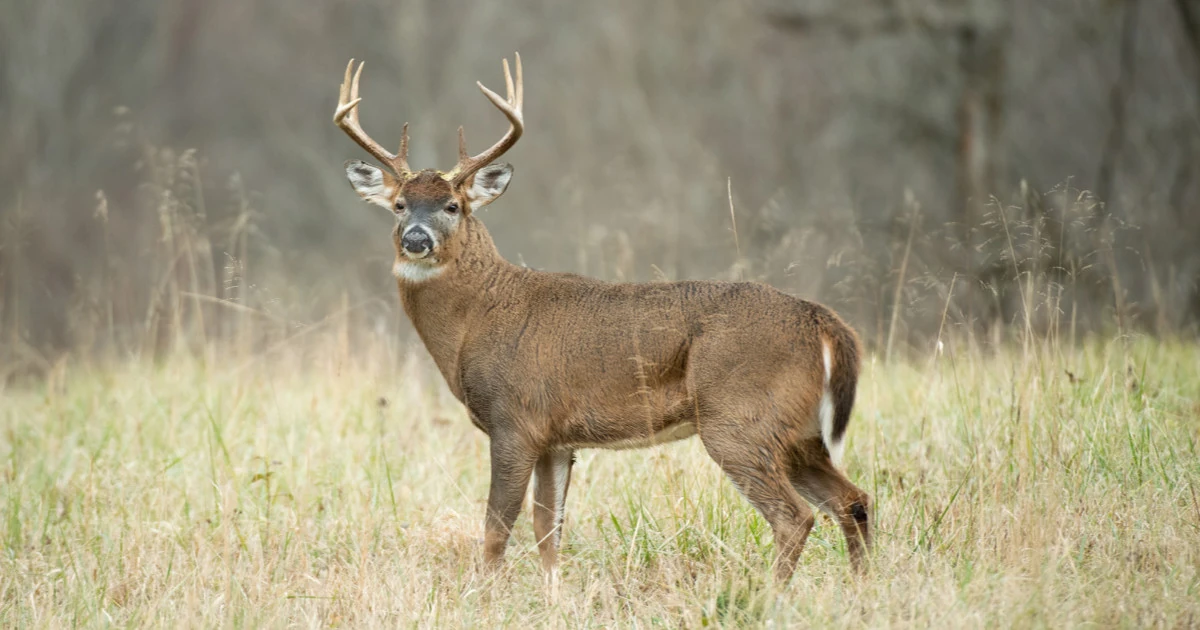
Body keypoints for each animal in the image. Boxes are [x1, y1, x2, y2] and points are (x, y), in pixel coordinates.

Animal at [333, 54, 870, 582]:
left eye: (452, 205)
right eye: (399, 205)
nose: (416, 238)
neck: (477, 318)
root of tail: (824, 323)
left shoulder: (515, 419)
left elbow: (496, 529)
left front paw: (483, 596)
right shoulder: (556, 439)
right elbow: (548, 529)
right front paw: (554, 596)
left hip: (740, 418)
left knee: (794, 516)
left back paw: (770, 595)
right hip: (800, 432)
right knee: (854, 499)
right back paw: (859, 588)